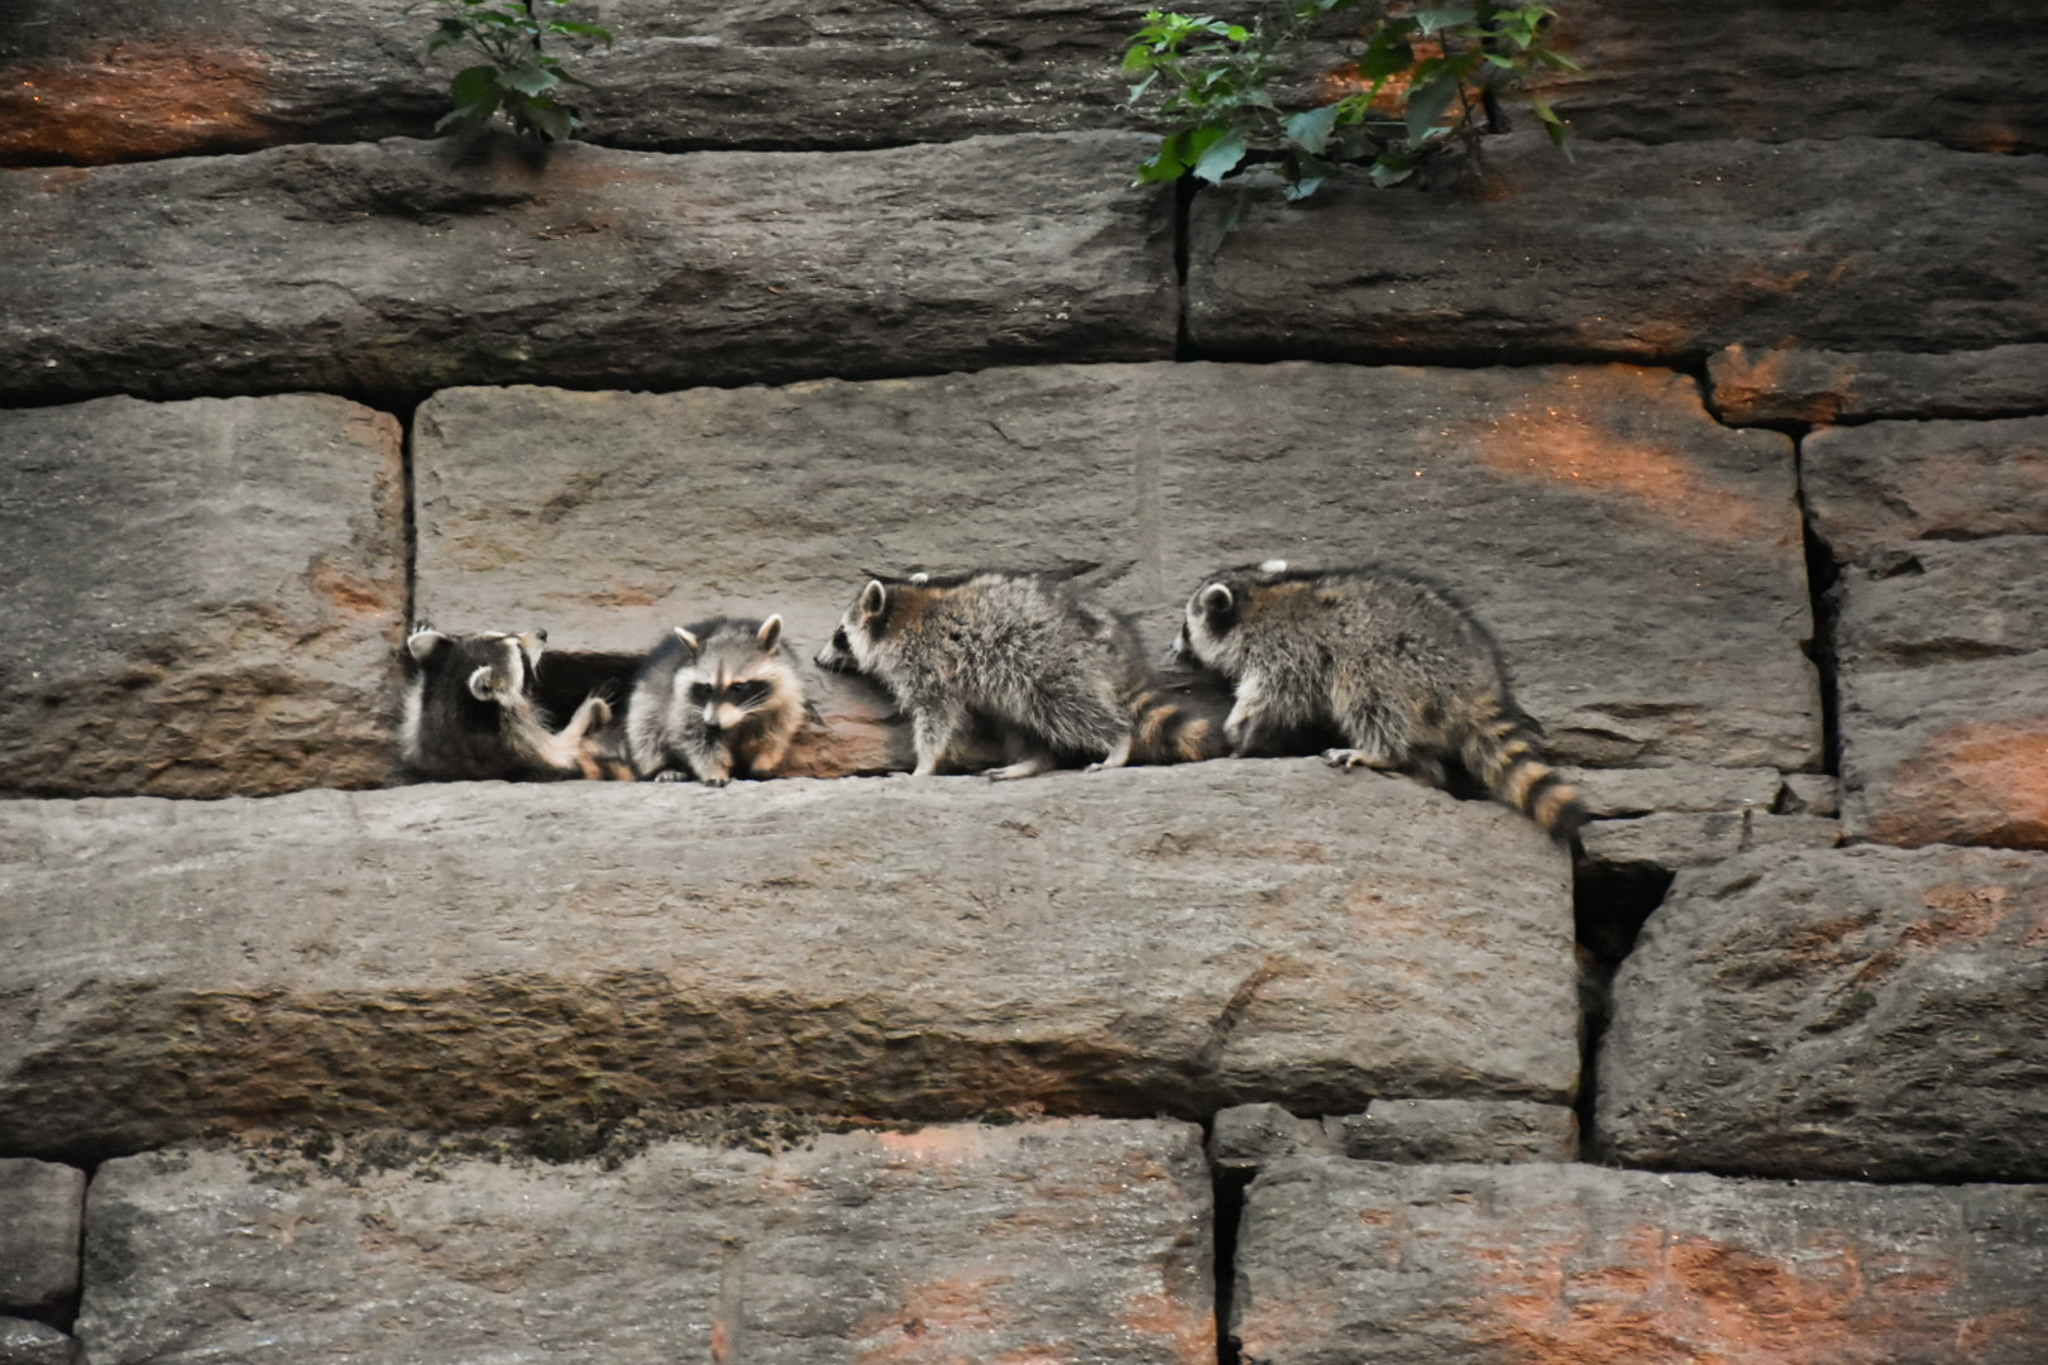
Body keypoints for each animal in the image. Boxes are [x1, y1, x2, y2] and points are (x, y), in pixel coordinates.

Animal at [625, 616, 807, 786]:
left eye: (738, 686)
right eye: (707, 688)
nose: (713, 723)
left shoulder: (785, 699)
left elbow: (773, 735)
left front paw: (763, 762)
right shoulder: (685, 706)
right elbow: (698, 741)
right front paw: (714, 770)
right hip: (647, 696)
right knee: (646, 729)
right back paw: (664, 767)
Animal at [814, 570, 1214, 779]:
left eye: (839, 634)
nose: (817, 658)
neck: (903, 614)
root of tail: (1115, 639)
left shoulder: (927, 666)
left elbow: (935, 719)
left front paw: (924, 765)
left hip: (1053, 665)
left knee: (1069, 709)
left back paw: (1118, 741)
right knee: (1018, 723)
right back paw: (1030, 761)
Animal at [1170, 559, 1586, 843]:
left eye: (1186, 626)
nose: (1172, 646)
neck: (1258, 596)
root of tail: (1480, 685)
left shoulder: (1288, 651)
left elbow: (1276, 695)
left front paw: (1241, 724)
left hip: (1408, 666)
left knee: (1369, 692)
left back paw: (1380, 752)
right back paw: (1420, 769)